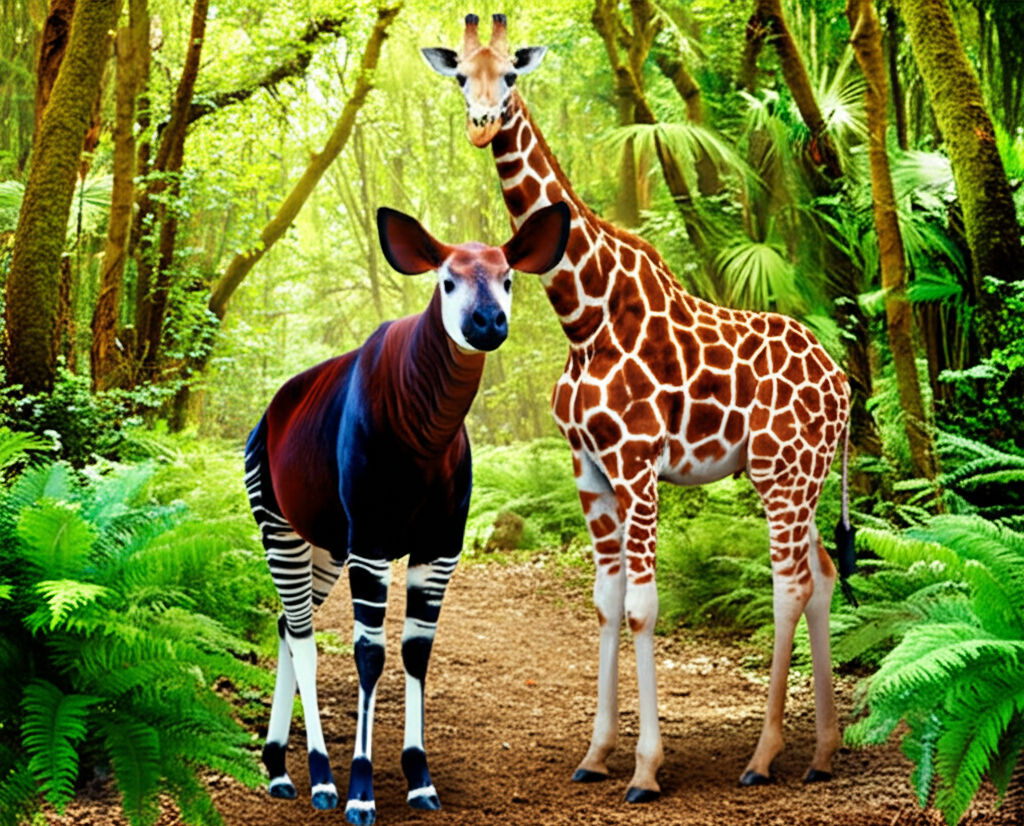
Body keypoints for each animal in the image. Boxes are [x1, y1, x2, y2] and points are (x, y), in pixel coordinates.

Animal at [423, 14, 855, 802]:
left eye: (511, 74)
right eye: (461, 75)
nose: (481, 124)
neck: (583, 316)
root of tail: (843, 382)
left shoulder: (636, 464)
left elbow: (642, 607)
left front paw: (647, 770)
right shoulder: (589, 470)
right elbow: (605, 599)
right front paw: (596, 755)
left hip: (783, 473)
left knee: (790, 584)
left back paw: (764, 755)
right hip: (794, 475)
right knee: (823, 578)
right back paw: (823, 751)